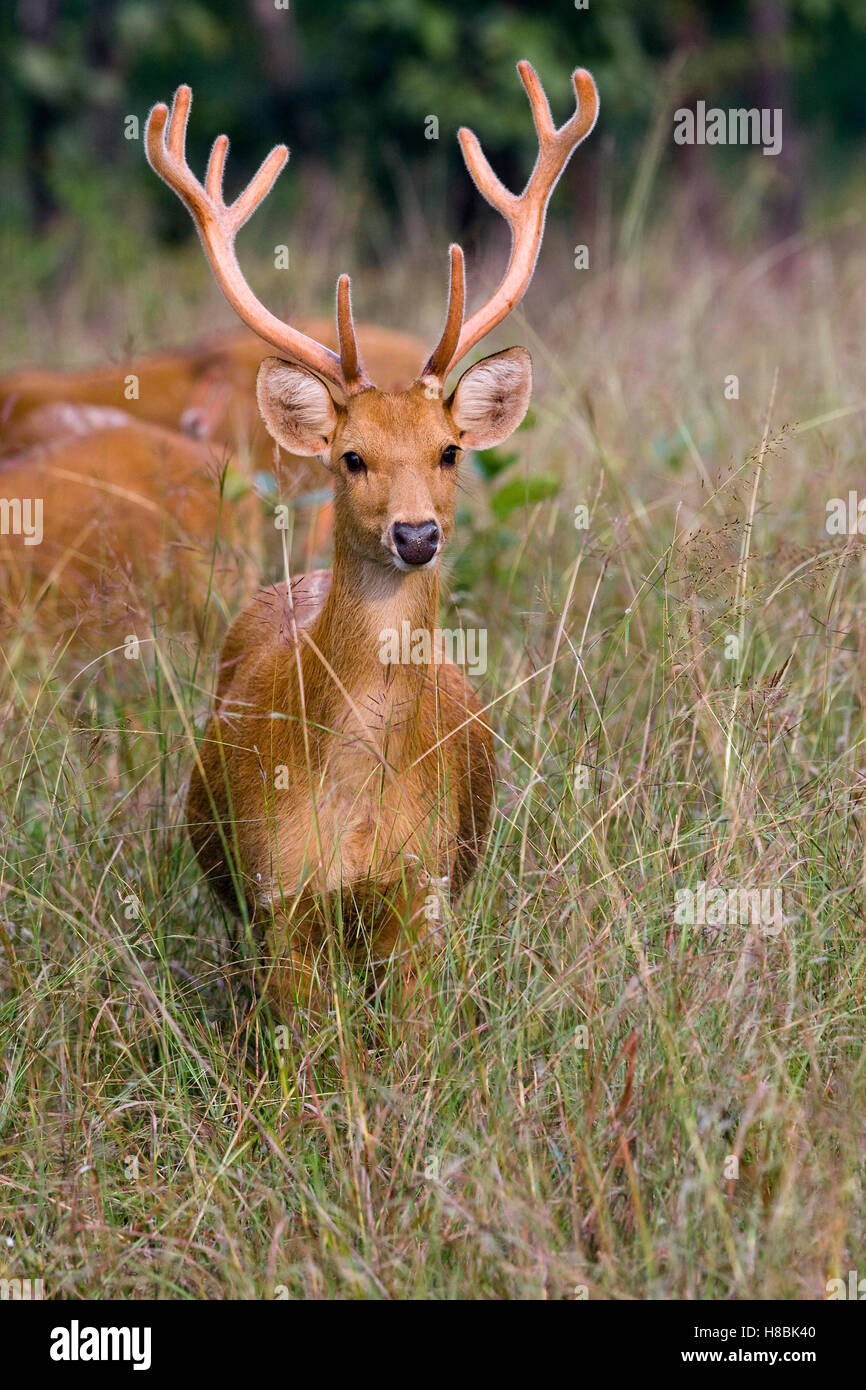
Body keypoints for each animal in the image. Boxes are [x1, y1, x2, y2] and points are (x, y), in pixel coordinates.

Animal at [144, 64, 599, 1029]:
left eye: (450, 450)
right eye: (350, 456)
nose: (416, 533)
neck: (355, 807)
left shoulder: (423, 891)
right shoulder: (278, 896)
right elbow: (309, 1054)